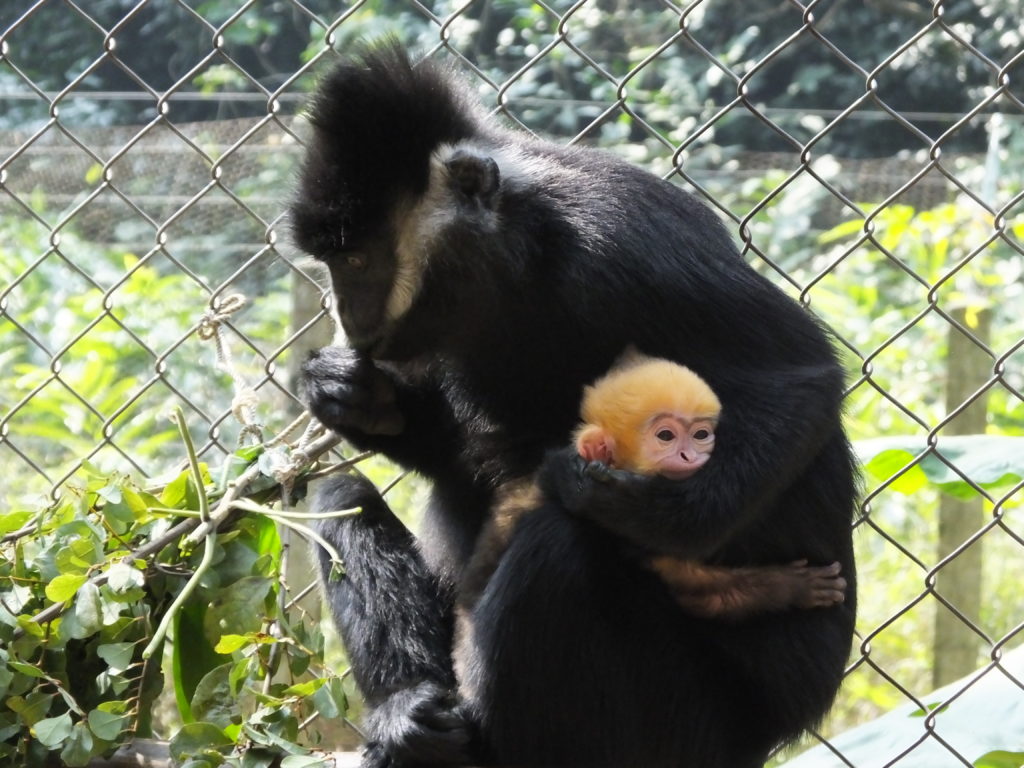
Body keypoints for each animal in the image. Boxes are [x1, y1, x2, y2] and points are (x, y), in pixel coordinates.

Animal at [293, 42, 857, 768]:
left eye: (359, 261)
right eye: (334, 263)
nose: (342, 308)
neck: (519, 260)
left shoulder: (621, 248)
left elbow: (800, 381)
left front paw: (614, 501)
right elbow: (459, 458)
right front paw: (355, 395)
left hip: (681, 729)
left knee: (556, 546)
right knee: (340, 496)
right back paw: (410, 720)